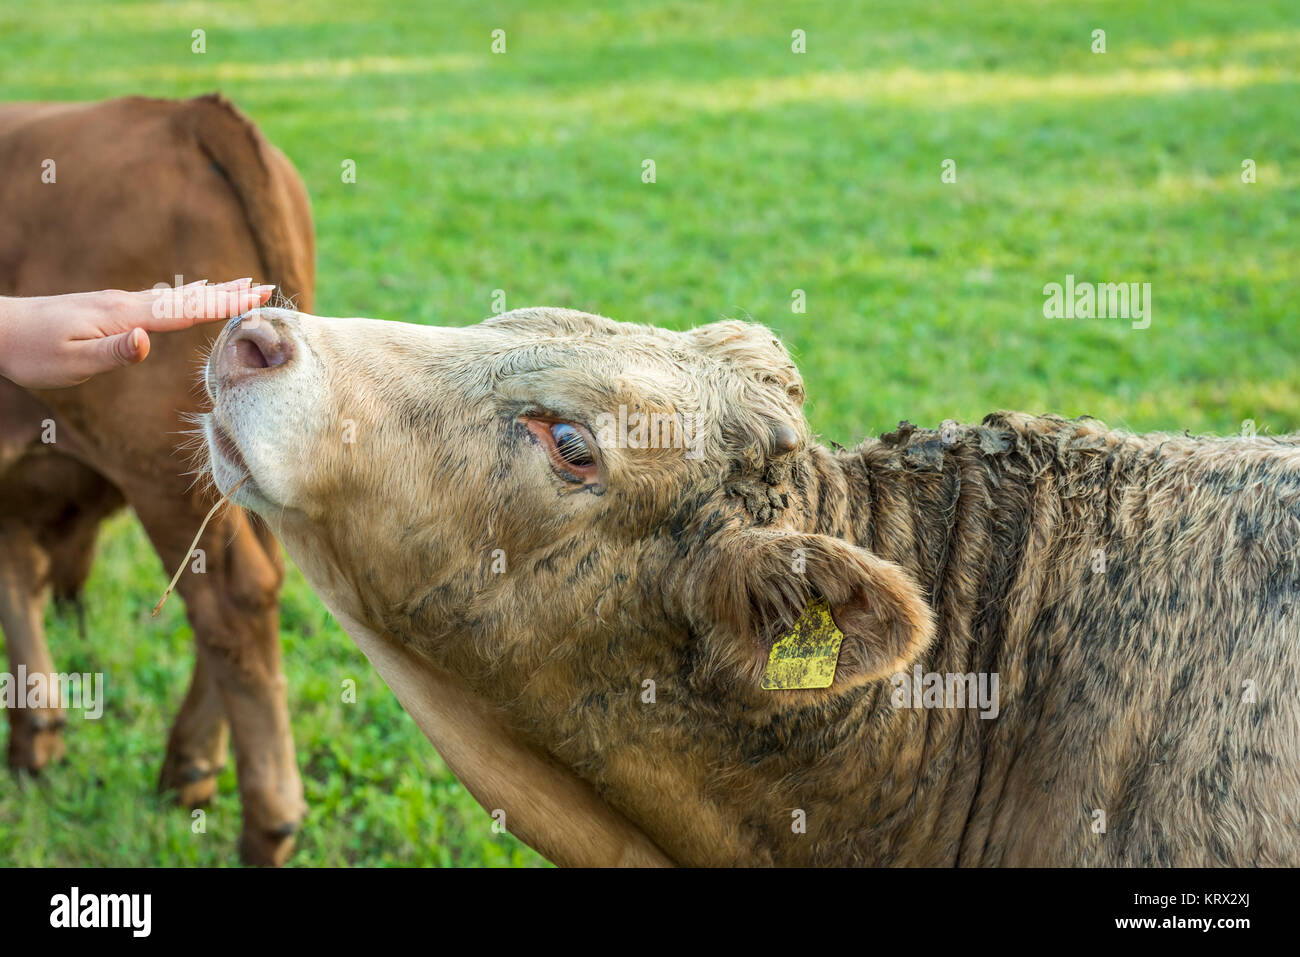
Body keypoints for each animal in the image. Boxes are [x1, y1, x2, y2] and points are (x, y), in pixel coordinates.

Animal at [0, 94, 314, 865]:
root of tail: (186, 111)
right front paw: (38, 727)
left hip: (169, 476)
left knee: (231, 602)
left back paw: (264, 819)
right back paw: (190, 766)